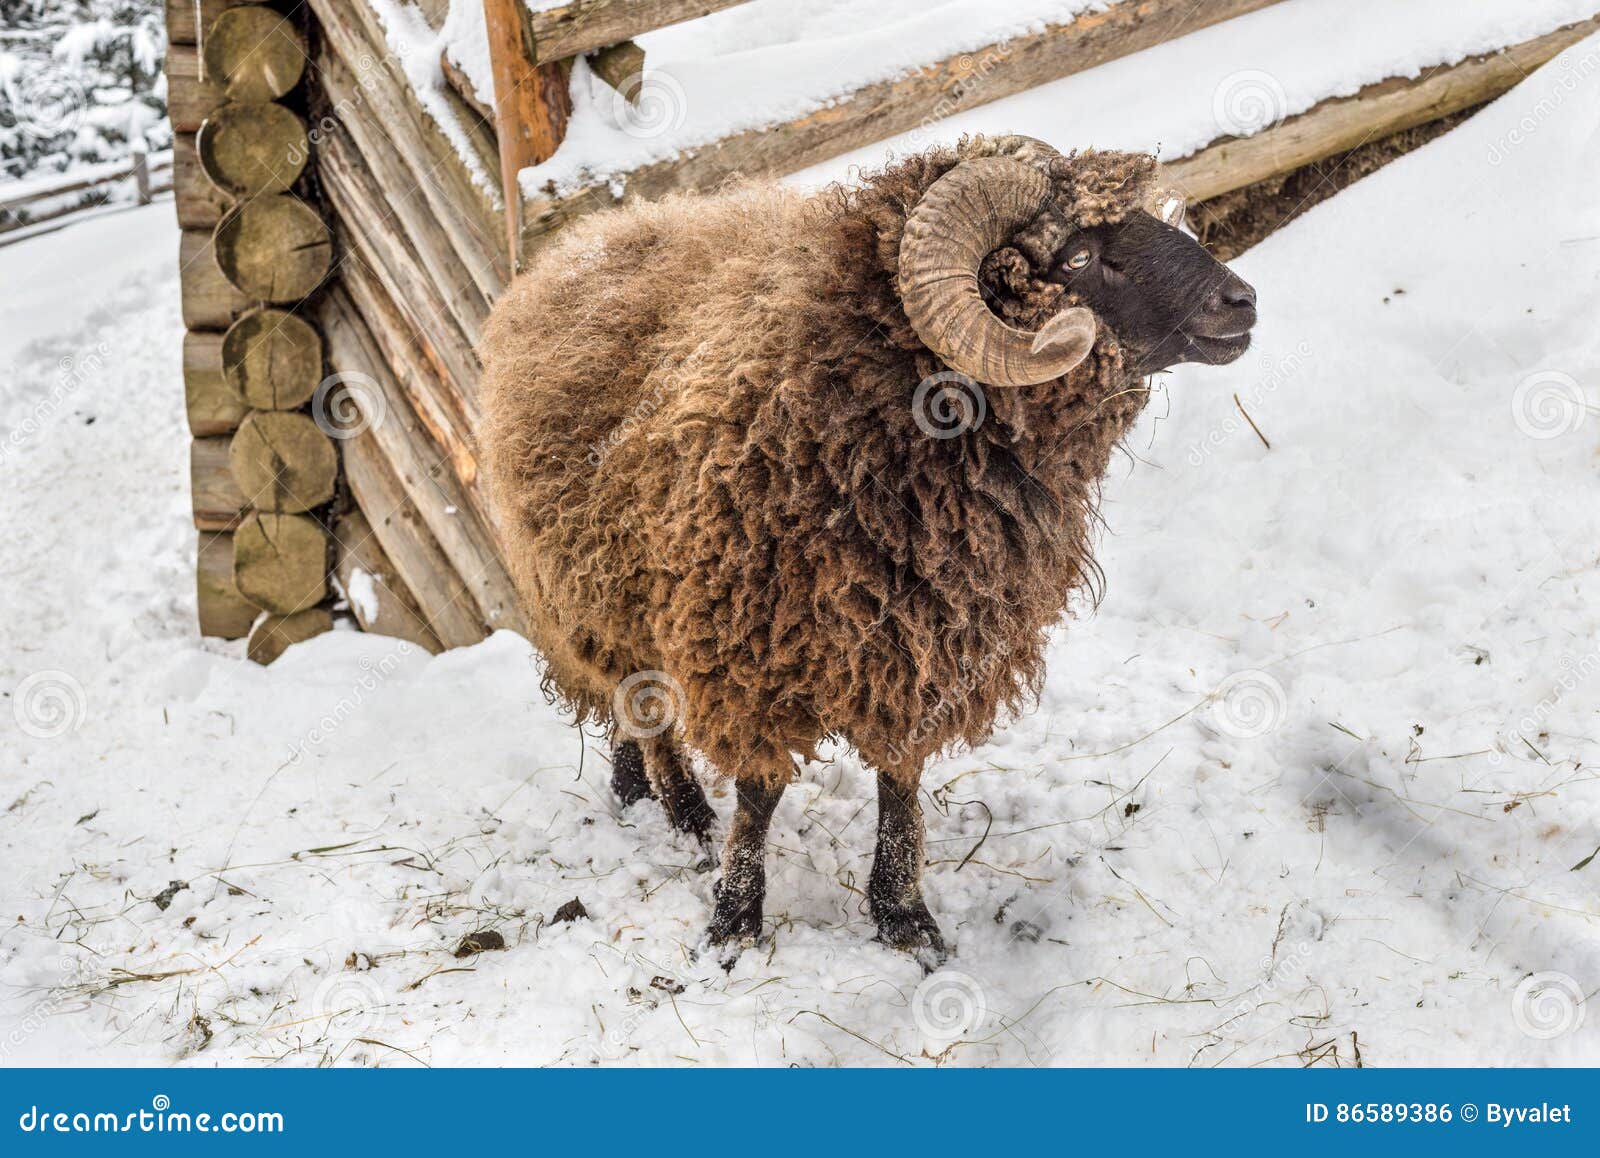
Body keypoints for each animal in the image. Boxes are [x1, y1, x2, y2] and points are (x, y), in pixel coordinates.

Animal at [479, 134, 1258, 964]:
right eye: (1077, 255)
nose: (1242, 301)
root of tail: (588, 236)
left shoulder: (927, 644)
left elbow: (900, 779)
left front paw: (903, 915)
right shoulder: (749, 643)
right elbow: (759, 791)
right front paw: (735, 918)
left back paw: (634, 788)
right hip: (596, 589)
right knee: (643, 702)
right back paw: (684, 812)